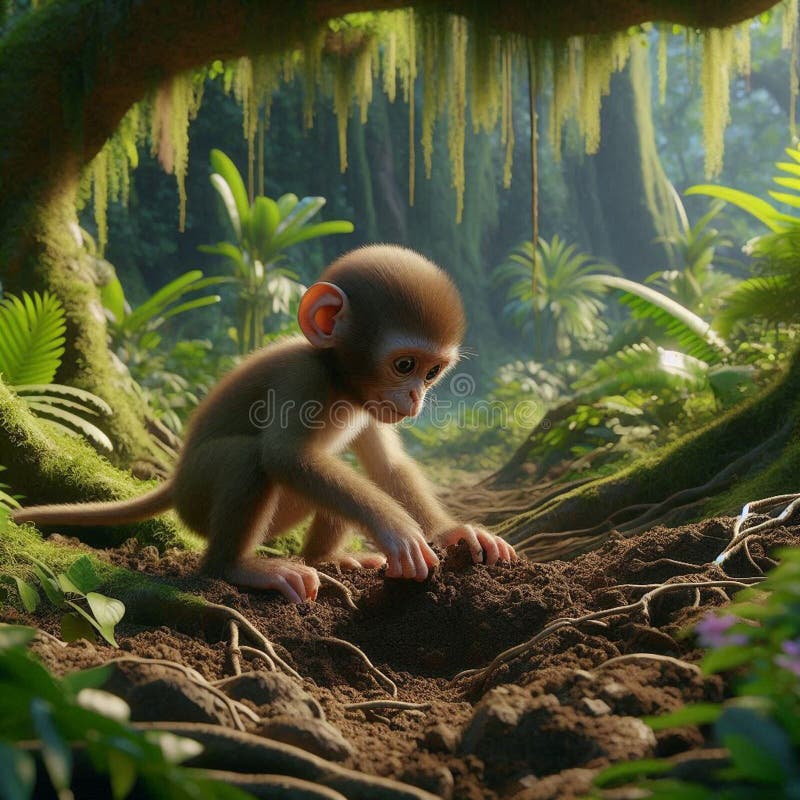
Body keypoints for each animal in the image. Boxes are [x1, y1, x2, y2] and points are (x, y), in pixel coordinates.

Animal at [12, 245, 517, 603]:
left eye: (432, 373)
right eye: (405, 365)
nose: (415, 398)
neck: (336, 377)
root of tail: (174, 480)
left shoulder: (368, 406)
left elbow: (386, 469)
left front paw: (455, 532)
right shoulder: (302, 375)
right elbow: (285, 457)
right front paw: (398, 531)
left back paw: (328, 558)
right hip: (198, 498)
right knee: (248, 459)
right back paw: (236, 568)